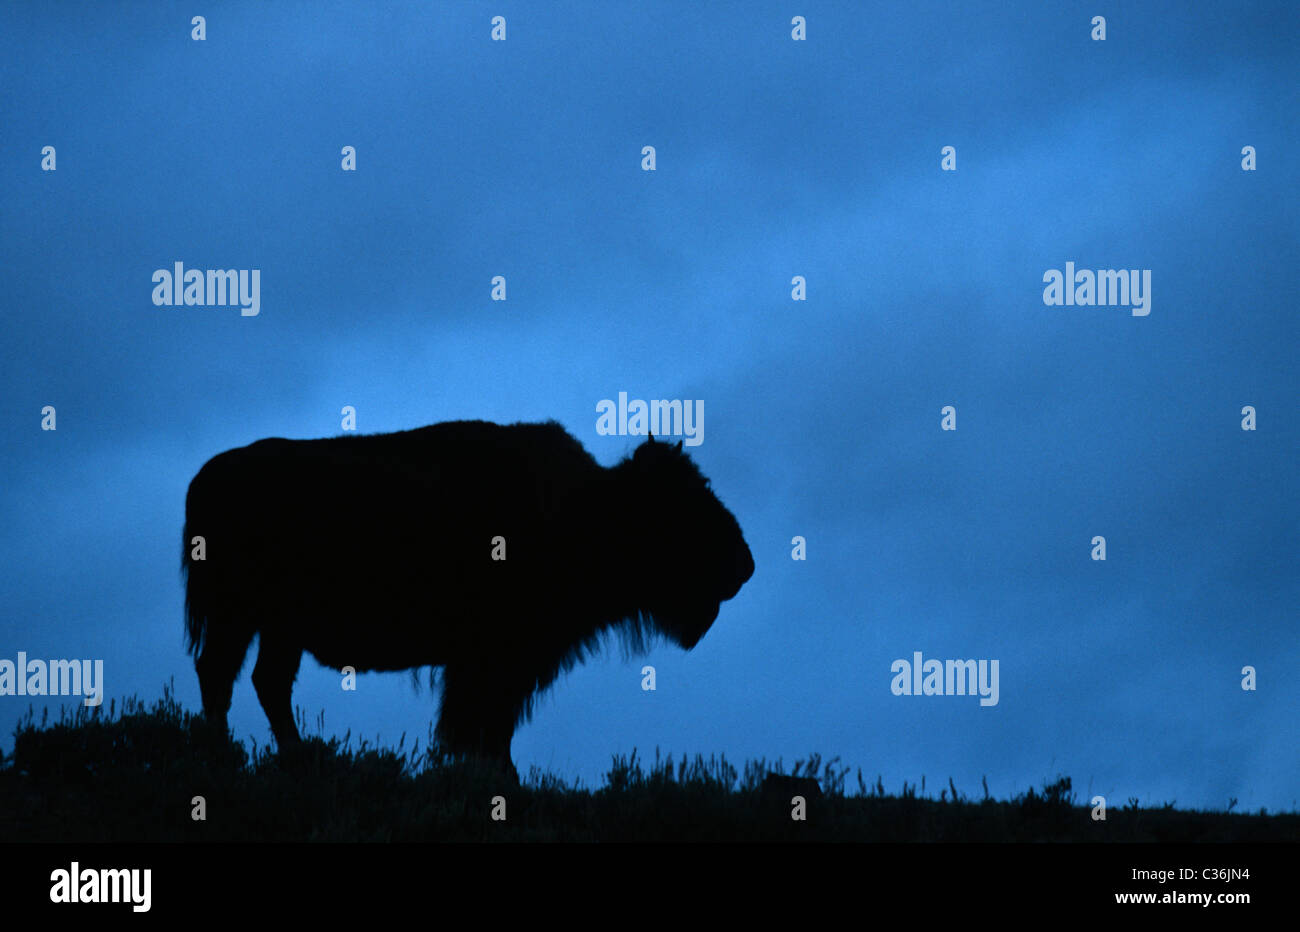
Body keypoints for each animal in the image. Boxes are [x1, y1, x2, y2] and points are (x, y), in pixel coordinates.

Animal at [182, 419, 754, 778]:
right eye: (677, 506)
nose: (744, 565)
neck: (580, 509)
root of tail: (207, 477)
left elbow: (494, 727)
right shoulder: (493, 661)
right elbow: (485, 727)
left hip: (273, 627)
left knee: (258, 681)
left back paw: (290, 758)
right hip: (241, 616)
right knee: (225, 675)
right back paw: (230, 756)